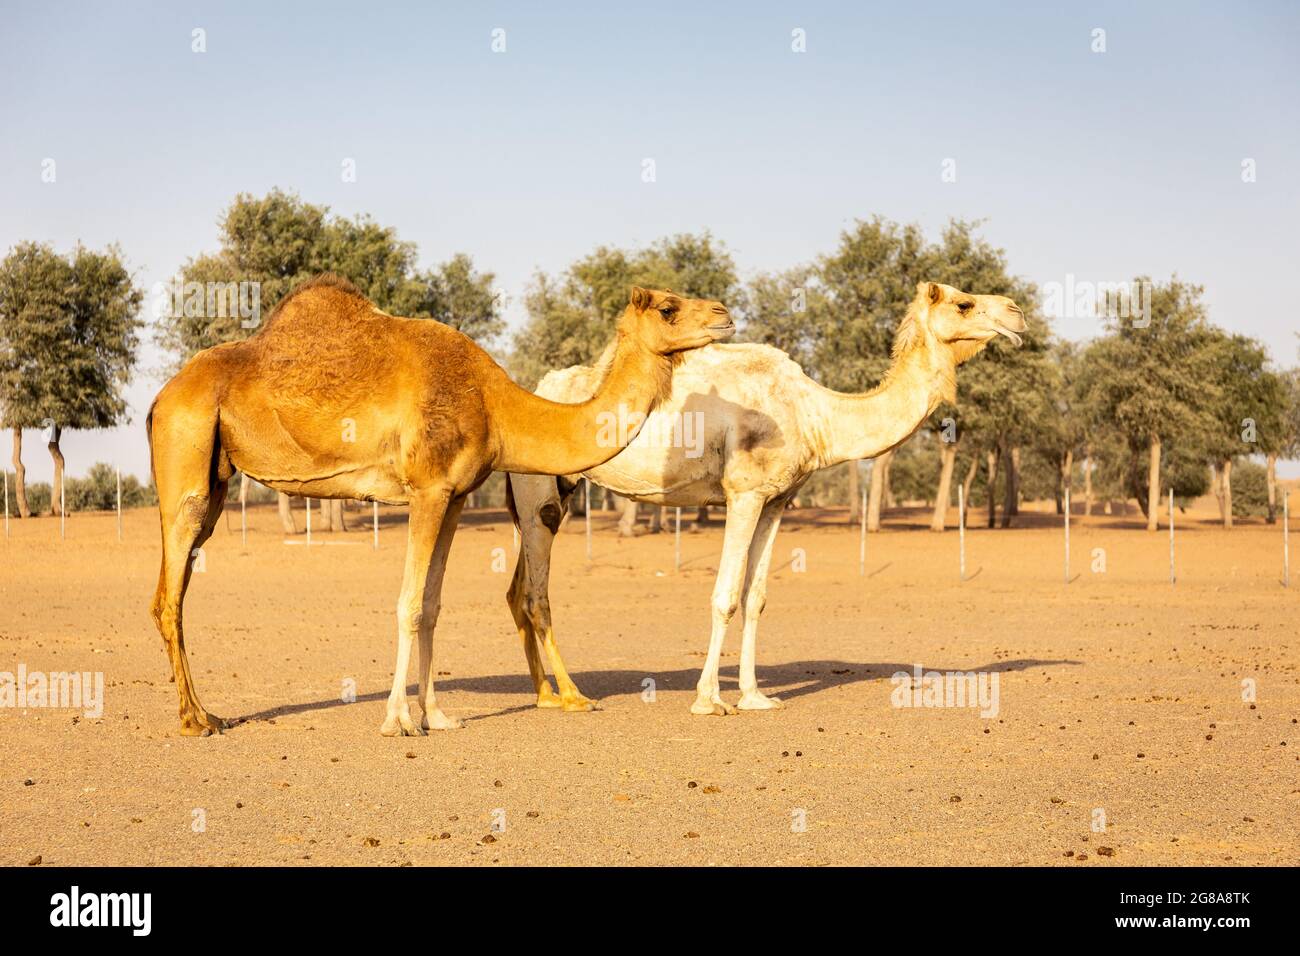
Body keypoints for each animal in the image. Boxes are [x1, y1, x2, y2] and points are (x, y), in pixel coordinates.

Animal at [147, 275, 734, 736]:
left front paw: (437, 715)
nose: (725, 315)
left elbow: (431, 605)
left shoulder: (455, 496)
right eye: (668, 307)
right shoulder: (426, 488)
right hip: (187, 452)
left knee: (170, 589)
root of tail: (160, 398)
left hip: (217, 480)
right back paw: (195, 720)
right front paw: (398, 720)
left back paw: (209, 714)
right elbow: (408, 603)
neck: (495, 406)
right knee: (170, 595)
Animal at [507, 281, 1025, 714]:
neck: (815, 414)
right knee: (536, 592)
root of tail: (537, 391)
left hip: (557, 491)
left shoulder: (777, 500)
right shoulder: (744, 493)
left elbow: (754, 596)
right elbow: (725, 596)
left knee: (518, 590)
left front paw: (755, 696)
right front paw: (708, 700)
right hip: (538, 493)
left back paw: (544, 694)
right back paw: (567, 697)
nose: (1017, 313)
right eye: (964, 303)